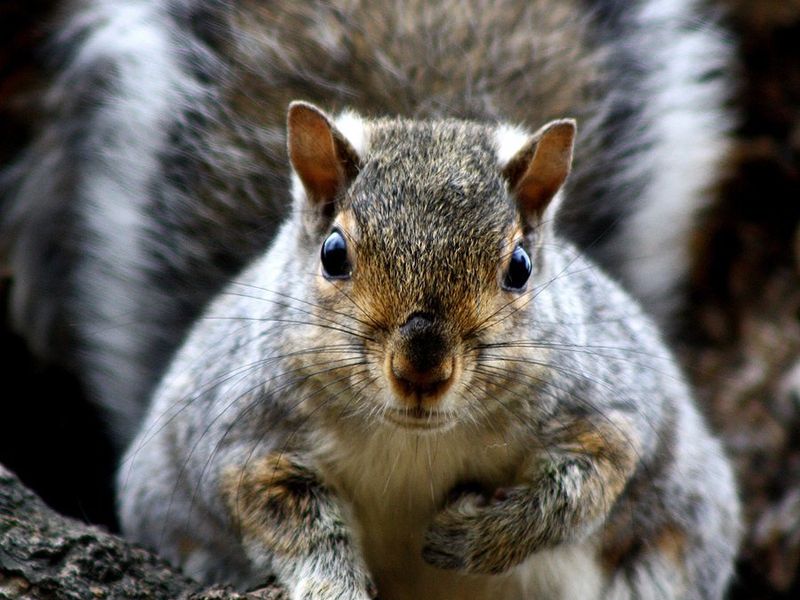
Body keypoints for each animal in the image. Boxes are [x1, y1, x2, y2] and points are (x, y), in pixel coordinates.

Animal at [0, 0, 740, 598]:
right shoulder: (238, 437)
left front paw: (469, 539)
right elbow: (292, 524)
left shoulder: (612, 412)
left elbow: (576, 491)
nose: (422, 367)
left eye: (520, 267)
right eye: (334, 254)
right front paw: (333, 585)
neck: (414, 440)